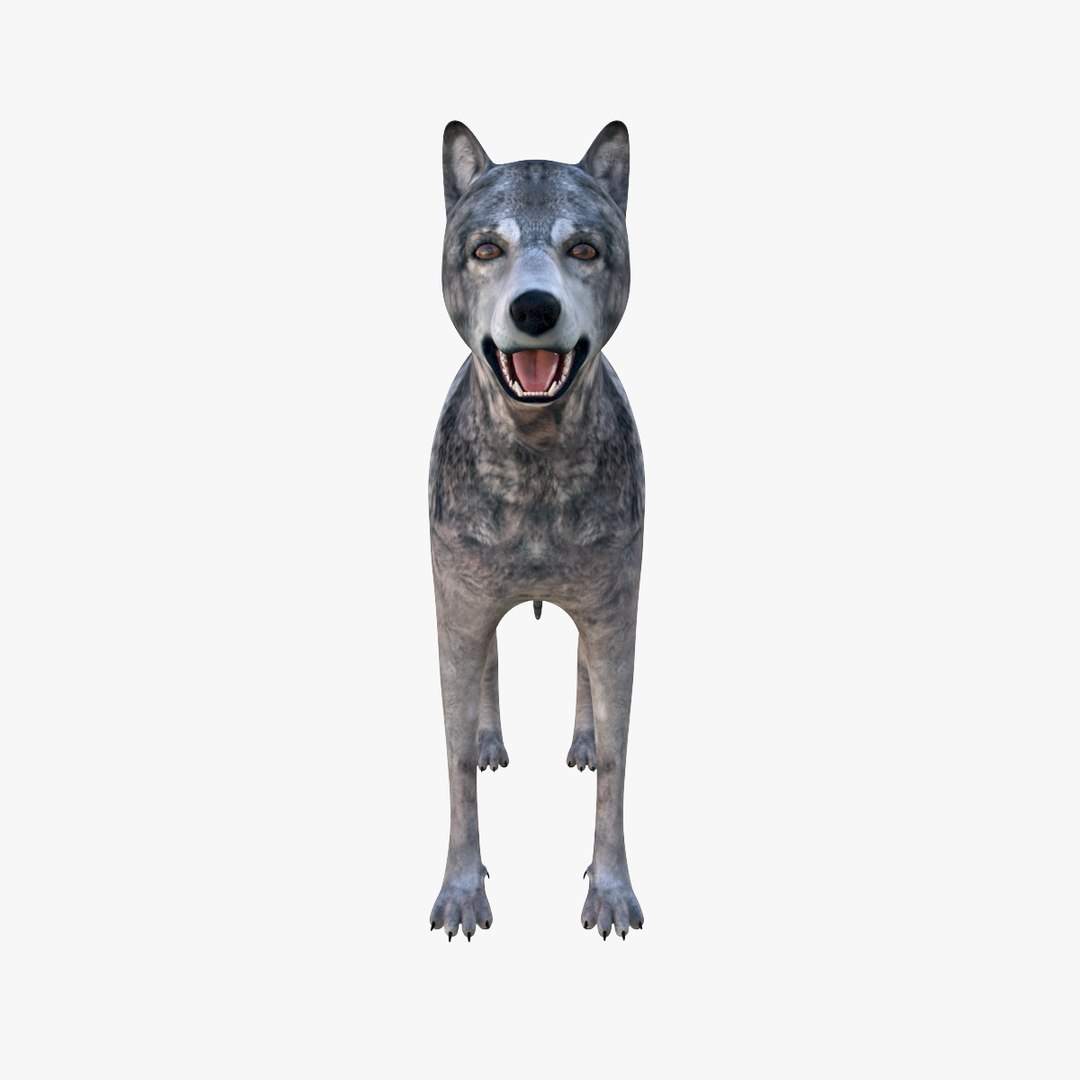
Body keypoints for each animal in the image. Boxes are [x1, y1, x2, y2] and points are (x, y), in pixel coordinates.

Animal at [429, 121, 645, 940]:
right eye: (487, 248)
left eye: (583, 248)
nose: (533, 310)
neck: (537, 461)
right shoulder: (456, 605)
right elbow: (456, 765)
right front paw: (462, 891)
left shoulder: (616, 606)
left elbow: (617, 763)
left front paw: (610, 891)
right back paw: (492, 740)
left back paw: (580, 739)